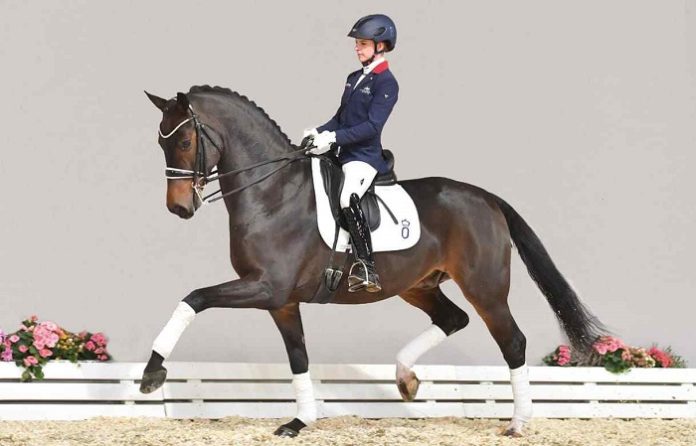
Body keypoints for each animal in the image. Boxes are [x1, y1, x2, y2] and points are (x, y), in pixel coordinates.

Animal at [139, 86, 604, 437]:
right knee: (453, 319)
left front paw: (152, 373)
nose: (179, 208)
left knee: (513, 342)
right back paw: (406, 380)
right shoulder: (282, 301)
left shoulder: (266, 287)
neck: (273, 194)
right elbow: (298, 357)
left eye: (184, 141)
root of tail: (488, 199)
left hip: (485, 289)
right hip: (418, 285)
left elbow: (194, 299)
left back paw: (518, 423)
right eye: (161, 142)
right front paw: (299, 421)